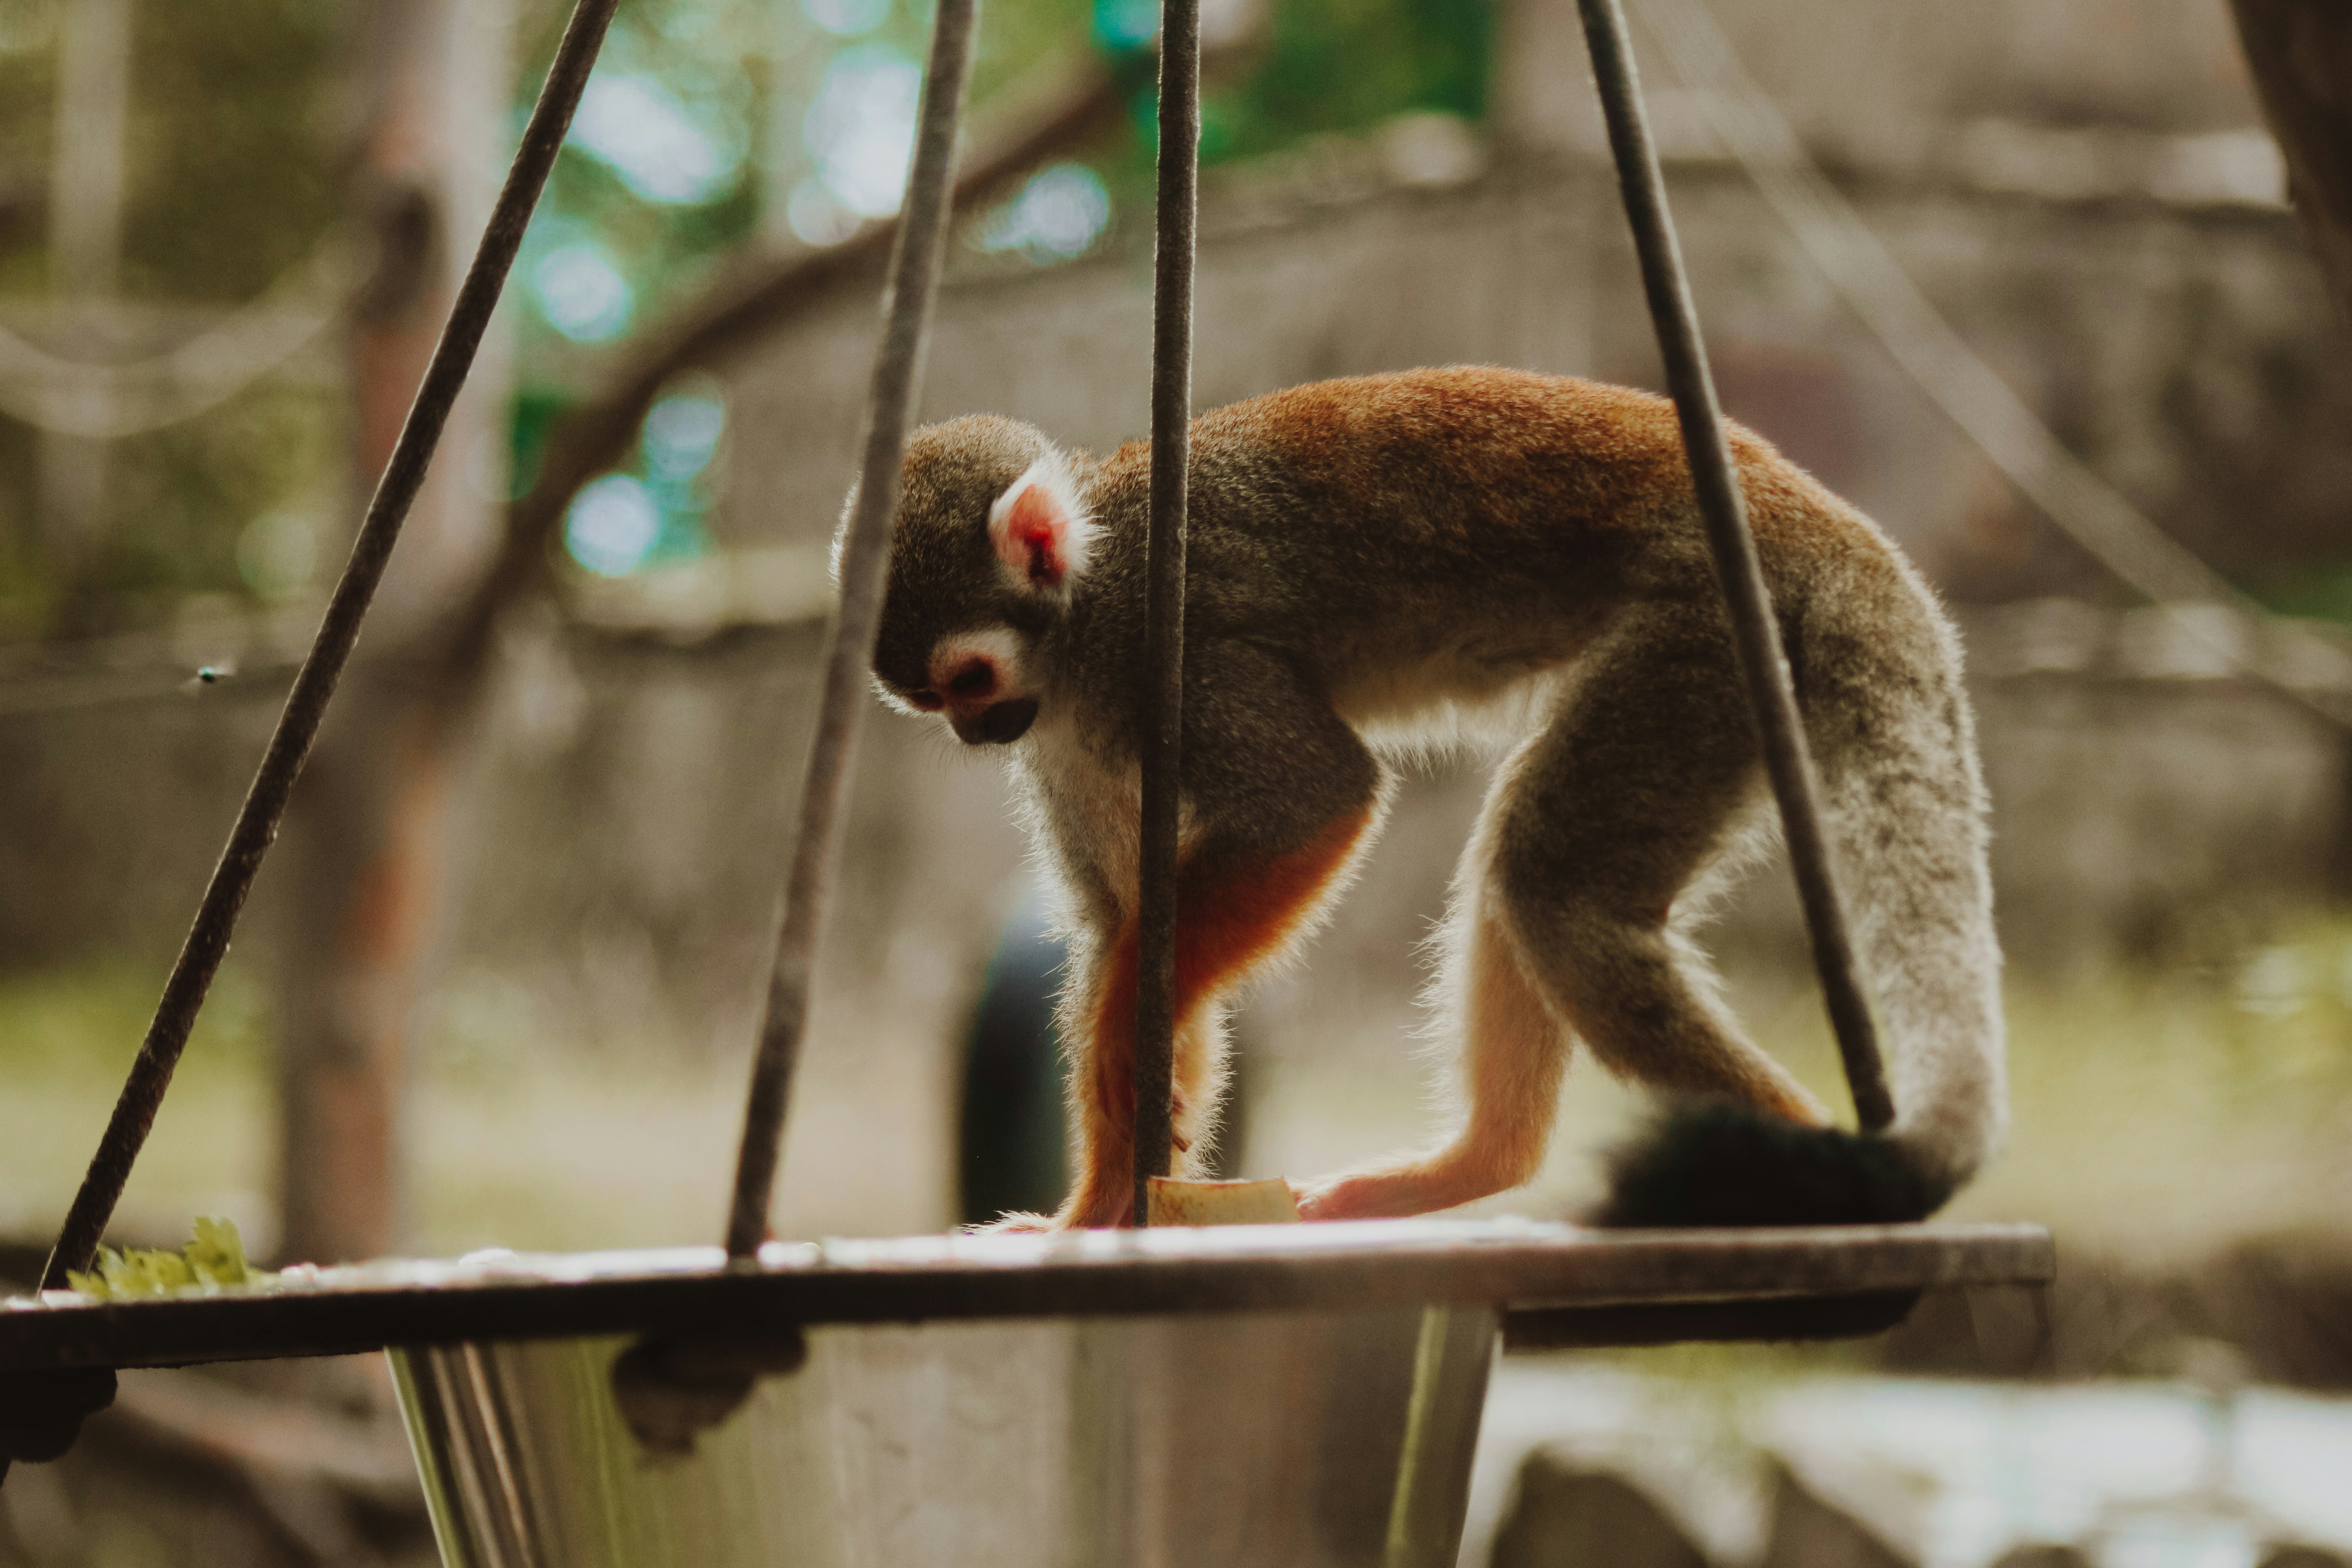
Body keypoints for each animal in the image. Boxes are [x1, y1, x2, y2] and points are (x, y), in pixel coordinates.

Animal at [859, 365, 2005, 1230]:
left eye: (970, 679)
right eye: (929, 700)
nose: (972, 733)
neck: (1080, 612)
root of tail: (1810, 511)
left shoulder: (1159, 647)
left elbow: (1316, 800)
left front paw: (1129, 1037)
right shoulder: (1062, 734)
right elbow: (1119, 923)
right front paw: (1102, 1200)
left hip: (1712, 630)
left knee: (1550, 878)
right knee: (1529, 871)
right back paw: (1480, 1166)